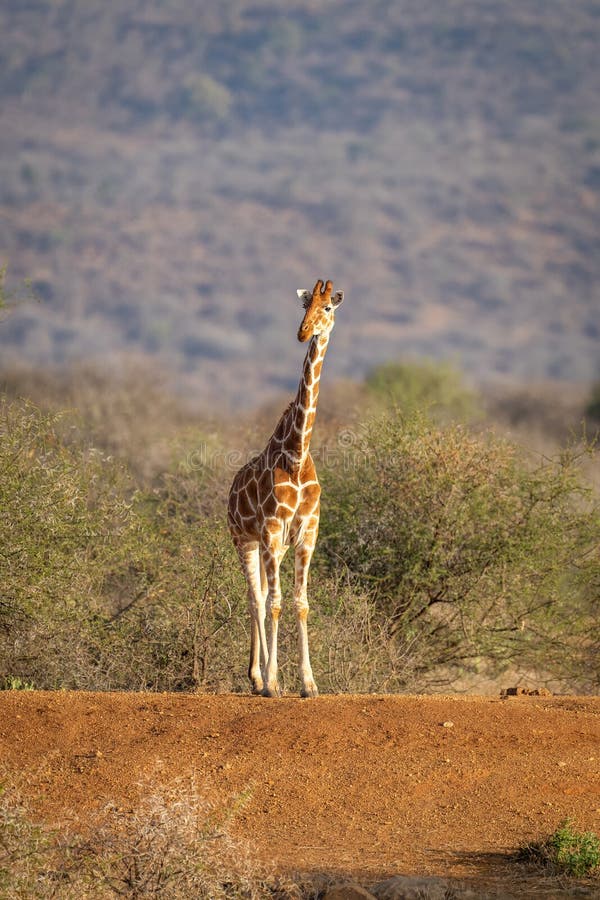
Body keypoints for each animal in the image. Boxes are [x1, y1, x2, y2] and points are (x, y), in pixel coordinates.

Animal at [227, 279, 344, 697]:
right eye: (304, 305)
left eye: (328, 308)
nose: (303, 332)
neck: (296, 453)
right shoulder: (273, 530)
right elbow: (276, 603)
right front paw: (275, 681)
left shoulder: (307, 533)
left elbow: (301, 602)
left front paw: (309, 683)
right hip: (246, 540)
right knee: (256, 599)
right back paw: (259, 678)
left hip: (268, 546)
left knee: (261, 596)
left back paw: (259, 676)